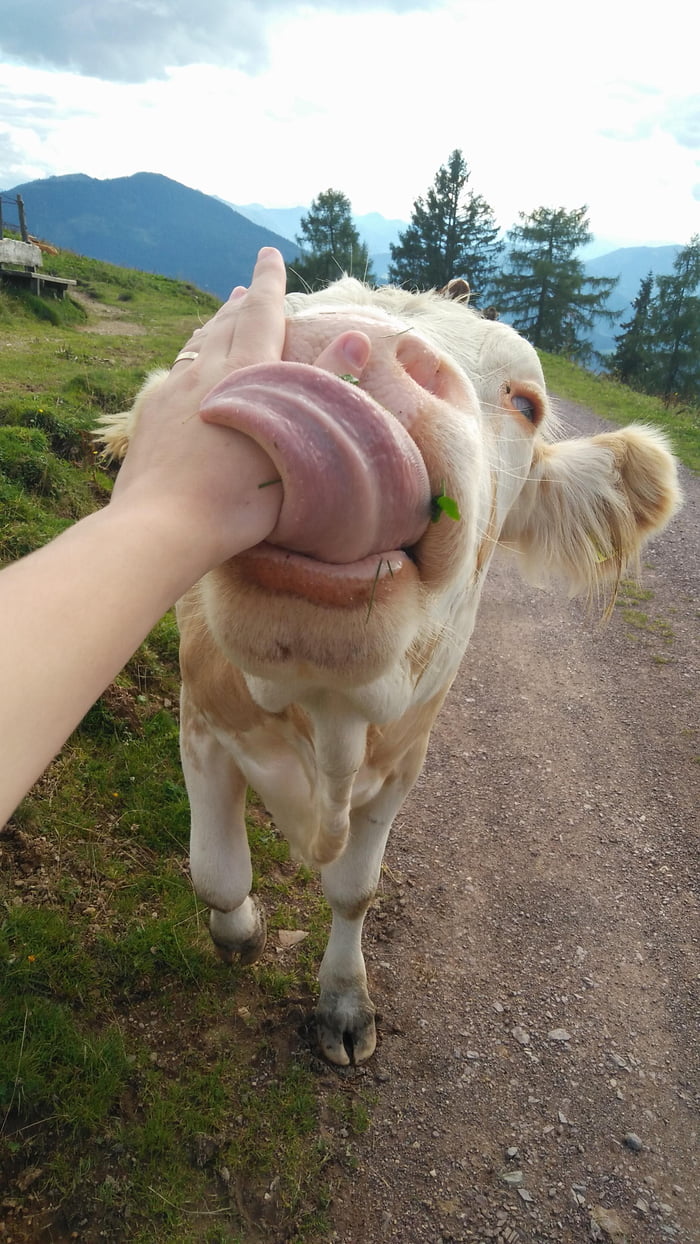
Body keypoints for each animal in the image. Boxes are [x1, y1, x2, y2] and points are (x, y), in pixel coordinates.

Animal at [98, 277, 680, 1066]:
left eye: (527, 403)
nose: (352, 346)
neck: (328, 719)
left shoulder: (403, 765)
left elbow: (355, 891)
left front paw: (344, 1002)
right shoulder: (205, 724)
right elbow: (217, 876)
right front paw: (240, 934)